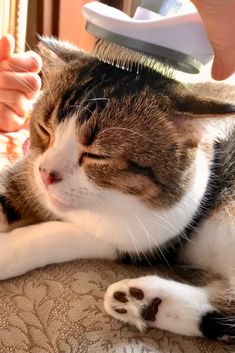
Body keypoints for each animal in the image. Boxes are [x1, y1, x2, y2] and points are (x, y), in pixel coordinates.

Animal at [0, 37, 235, 340]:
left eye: (98, 155)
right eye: (45, 130)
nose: (46, 174)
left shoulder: (149, 238)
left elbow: (55, 234)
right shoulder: (28, 173)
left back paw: (143, 301)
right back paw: (143, 303)